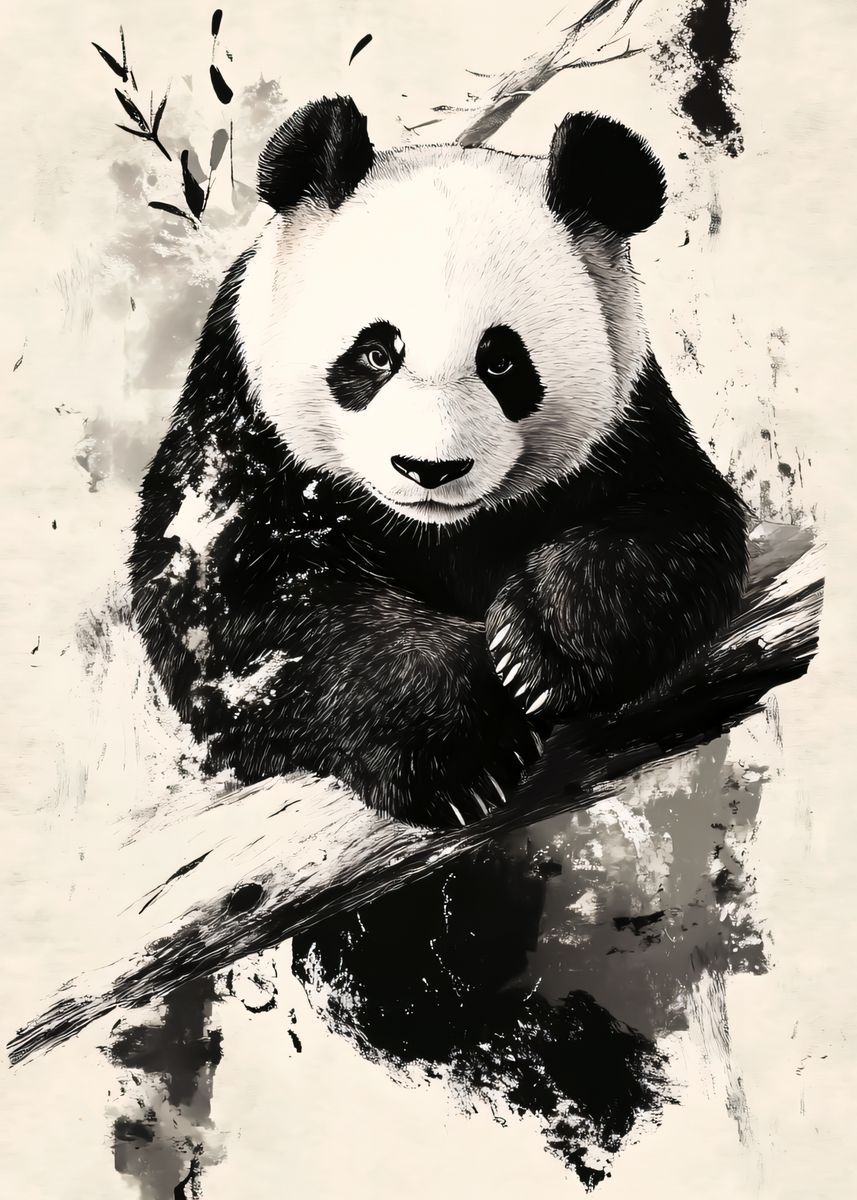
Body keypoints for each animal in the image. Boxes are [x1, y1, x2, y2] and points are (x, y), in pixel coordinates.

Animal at [130, 96, 748, 830]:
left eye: (502, 361)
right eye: (375, 353)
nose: (429, 469)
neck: (435, 528)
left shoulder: (626, 428)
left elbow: (674, 530)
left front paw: (534, 653)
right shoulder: (242, 428)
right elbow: (238, 614)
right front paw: (459, 747)